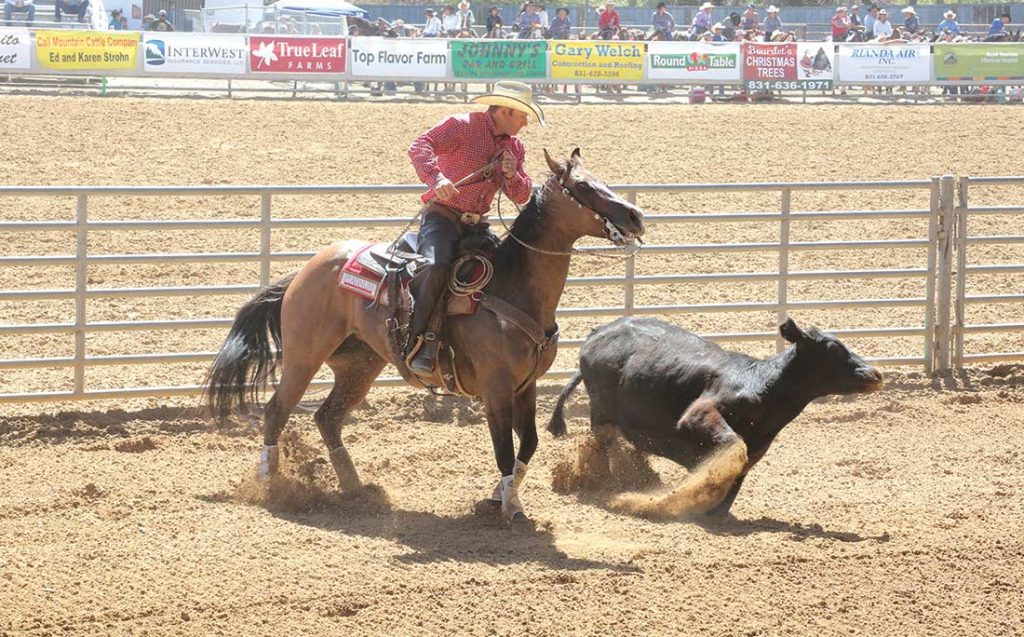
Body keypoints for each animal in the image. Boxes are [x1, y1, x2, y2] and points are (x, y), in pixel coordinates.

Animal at [204, 149, 646, 523]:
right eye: (583, 187)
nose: (635, 216)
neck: (511, 287)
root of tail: (307, 269)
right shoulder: (496, 387)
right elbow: (504, 448)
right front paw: (512, 508)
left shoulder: (526, 385)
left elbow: (529, 443)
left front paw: (498, 497)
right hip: (304, 355)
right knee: (277, 410)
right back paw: (270, 483)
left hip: (360, 363)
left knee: (327, 417)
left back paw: (355, 487)